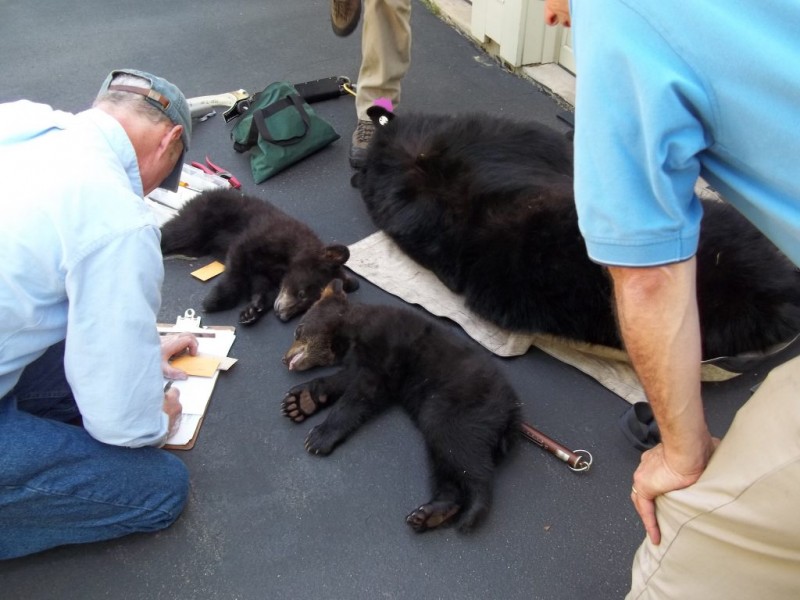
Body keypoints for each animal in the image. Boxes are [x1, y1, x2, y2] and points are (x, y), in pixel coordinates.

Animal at [160, 189, 359, 325]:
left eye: (308, 305)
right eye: (302, 294)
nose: (283, 316)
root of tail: (205, 193)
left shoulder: (265, 271)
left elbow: (261, 284)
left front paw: (252, 310)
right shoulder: (258, 237)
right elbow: (236, 268)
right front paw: (216, 300)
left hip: (197, 245)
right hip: (199, 221)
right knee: (175, 232)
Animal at [280, 279, 528, 533]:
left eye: (298, 330)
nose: (284, 358)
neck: (353, 328)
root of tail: (512, 413)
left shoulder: (384, 352)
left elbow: (361, 395)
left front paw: (319, 436)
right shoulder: (362, 360)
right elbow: (344, 378)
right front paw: (301, 401)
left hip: (460, 409)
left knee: (468, 459)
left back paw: (474, 509)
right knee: (447, 461)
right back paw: (434, 512)